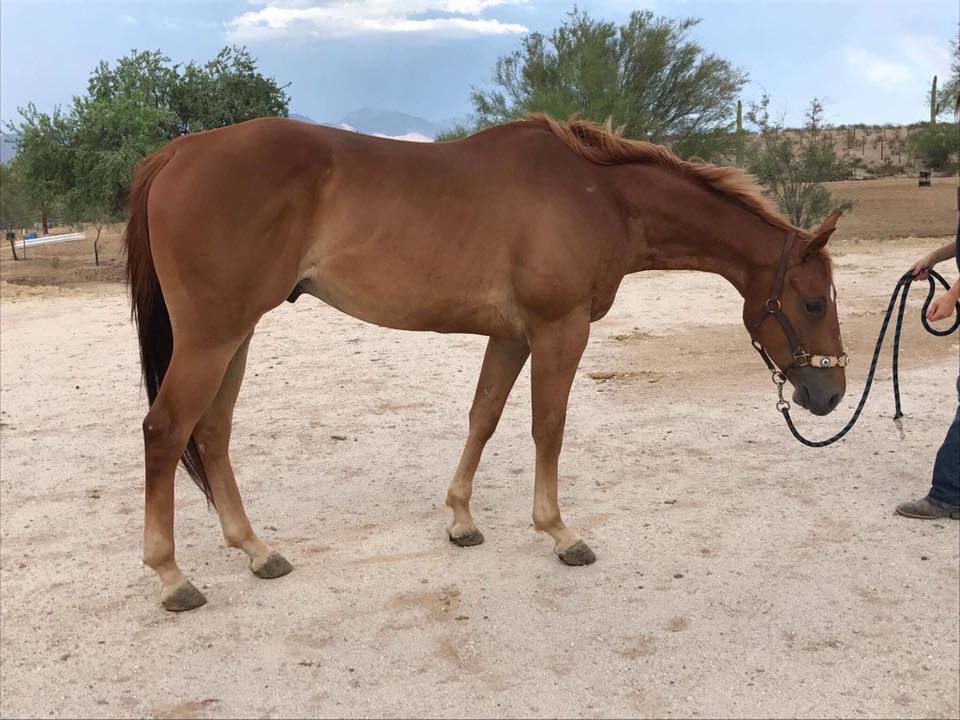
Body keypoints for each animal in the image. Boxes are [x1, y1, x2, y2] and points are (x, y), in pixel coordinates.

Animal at [125, 114, 847, 611]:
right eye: (813, 302)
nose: (831, 393)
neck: (599, 194)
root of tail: (179, 152)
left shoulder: (513, 337)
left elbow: (485, 417)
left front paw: (462, 519)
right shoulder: (559, 330)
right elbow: (547, 427)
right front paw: (559, 532)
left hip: (236, 335)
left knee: (212, 433)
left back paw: (256, 551)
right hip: (212, 337)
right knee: (166, 430)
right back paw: (172, 577)